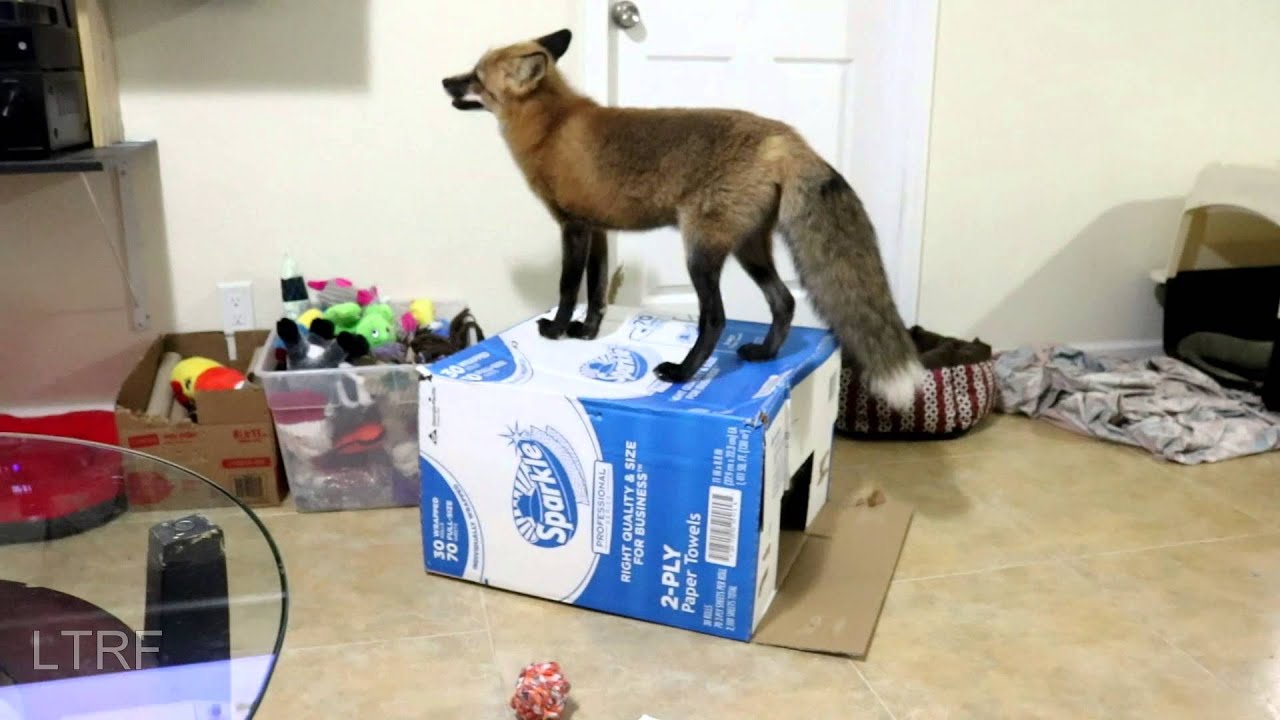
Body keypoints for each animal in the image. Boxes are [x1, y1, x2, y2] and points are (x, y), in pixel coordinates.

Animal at [443, 28, 924, 409]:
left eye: (476, 76)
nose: (444, 81)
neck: (552, 127)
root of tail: (786, 138)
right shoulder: (599, 228)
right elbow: (596, 290)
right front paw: (588, 333)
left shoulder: (573, 226)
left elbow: (566, 287)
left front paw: (558, 329)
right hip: (750, 248)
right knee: (784, 301)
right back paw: (765, 355)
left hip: (700, 252)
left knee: (716, 319)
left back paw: (683, 373)